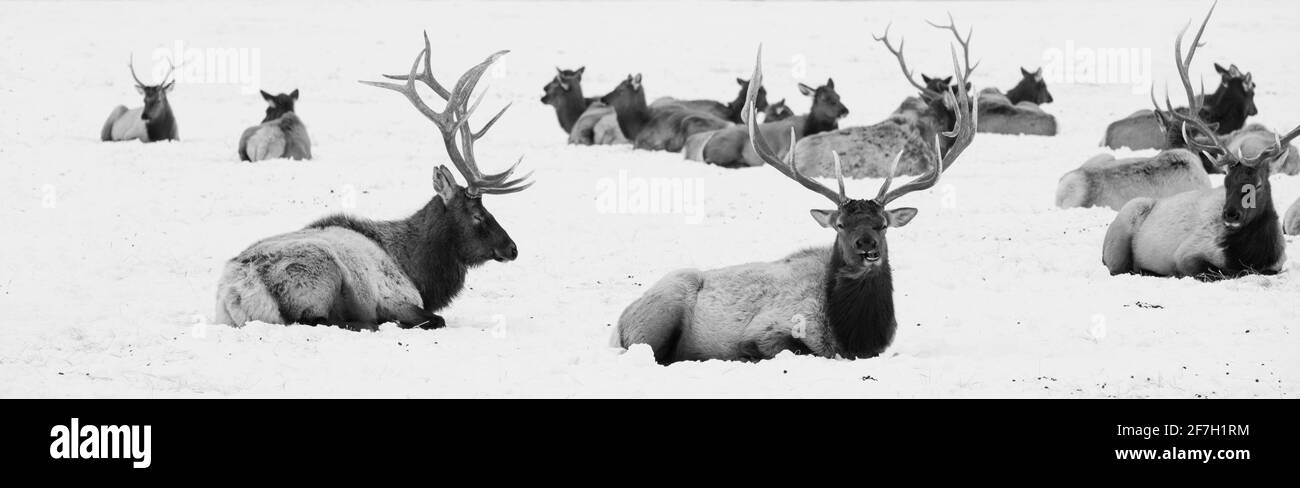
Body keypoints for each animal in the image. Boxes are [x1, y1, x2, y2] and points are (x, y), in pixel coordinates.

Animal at [215, 33, 532, 330]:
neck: (417, 270)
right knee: (318, 319)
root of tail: (236, 294)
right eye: (478, 215)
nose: (513, 248)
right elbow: (436, 319)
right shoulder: (397, 296)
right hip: (318, 273)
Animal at [599, 73, 734, 152]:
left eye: (620, 90)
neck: (637, 127)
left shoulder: (646, 140)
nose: (602, 98)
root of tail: (730, 125)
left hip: (691, 123)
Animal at [681, 79, 848, 167]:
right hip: (728, 146)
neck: (811, 128)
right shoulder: (785, 150)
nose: (845, 110)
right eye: (824, 99)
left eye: (839, 96)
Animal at [1102, 6, 1294, 280]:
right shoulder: (1187, 256)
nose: (1230, 214)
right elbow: (1216, 271)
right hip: (1121, 234)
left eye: (1257, 184)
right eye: (1225, 182)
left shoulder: (1277, 264)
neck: (1254, 255)